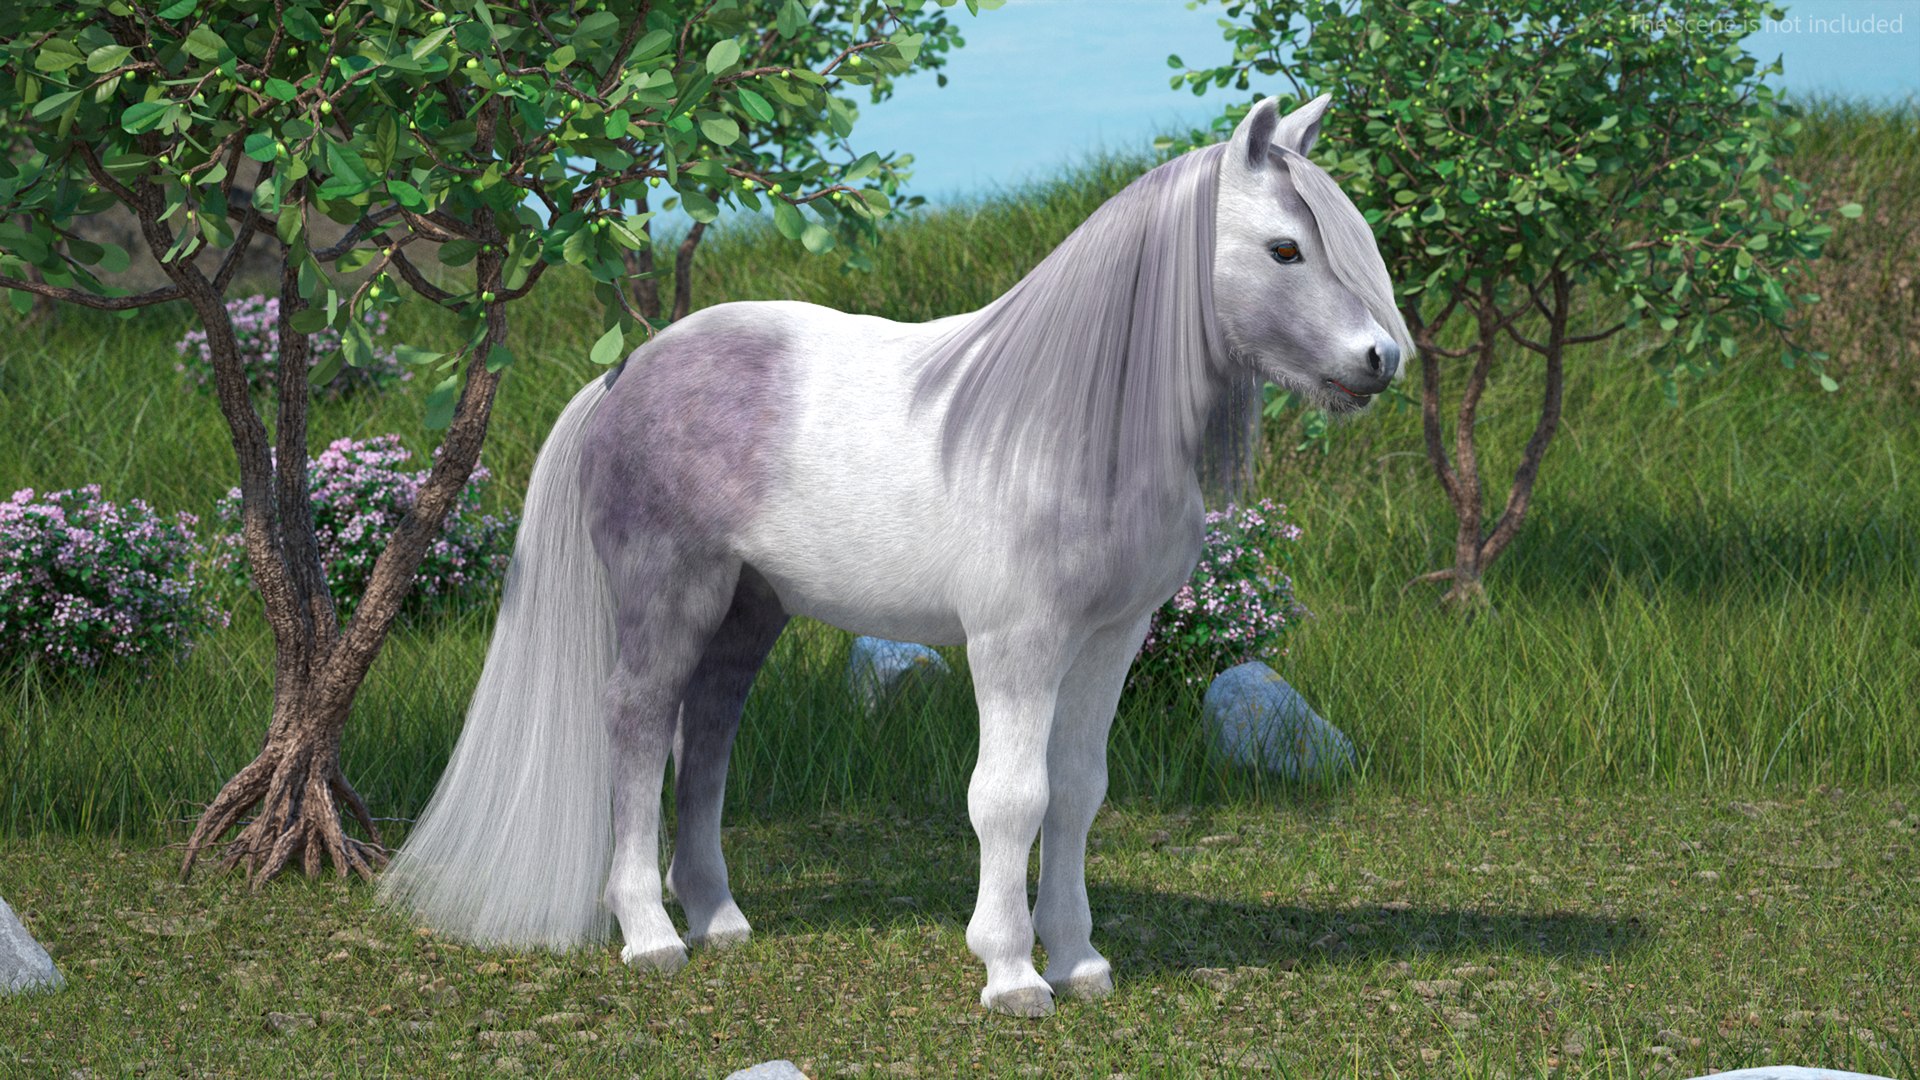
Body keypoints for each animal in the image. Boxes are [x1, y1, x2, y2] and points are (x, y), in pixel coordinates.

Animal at [379, 94, 1412, 1017]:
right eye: (1285, 248)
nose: (1381, 361)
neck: (1074, 424)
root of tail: (624, 375)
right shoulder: (1015, 644)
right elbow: (1010, 797)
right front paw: (1012, 975)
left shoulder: (1110, 640)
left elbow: (1078, 792)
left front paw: (1081, 962)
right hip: (669, 593)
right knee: (636, 724)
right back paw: (650, 935)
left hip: (751, 608)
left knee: (706, 731)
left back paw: (718, 918)